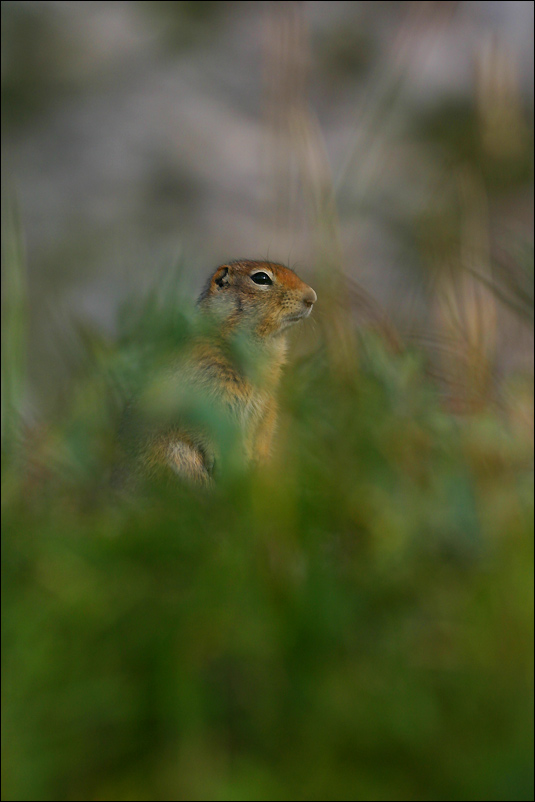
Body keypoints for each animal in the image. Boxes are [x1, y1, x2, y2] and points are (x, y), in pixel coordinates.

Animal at [124, 259, 317, 486]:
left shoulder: (268, 403)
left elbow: (265, 428)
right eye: (261, 278)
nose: (312, 297)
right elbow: (203, 427)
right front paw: (225, 461)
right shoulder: (199, 395)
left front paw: (260, 462)